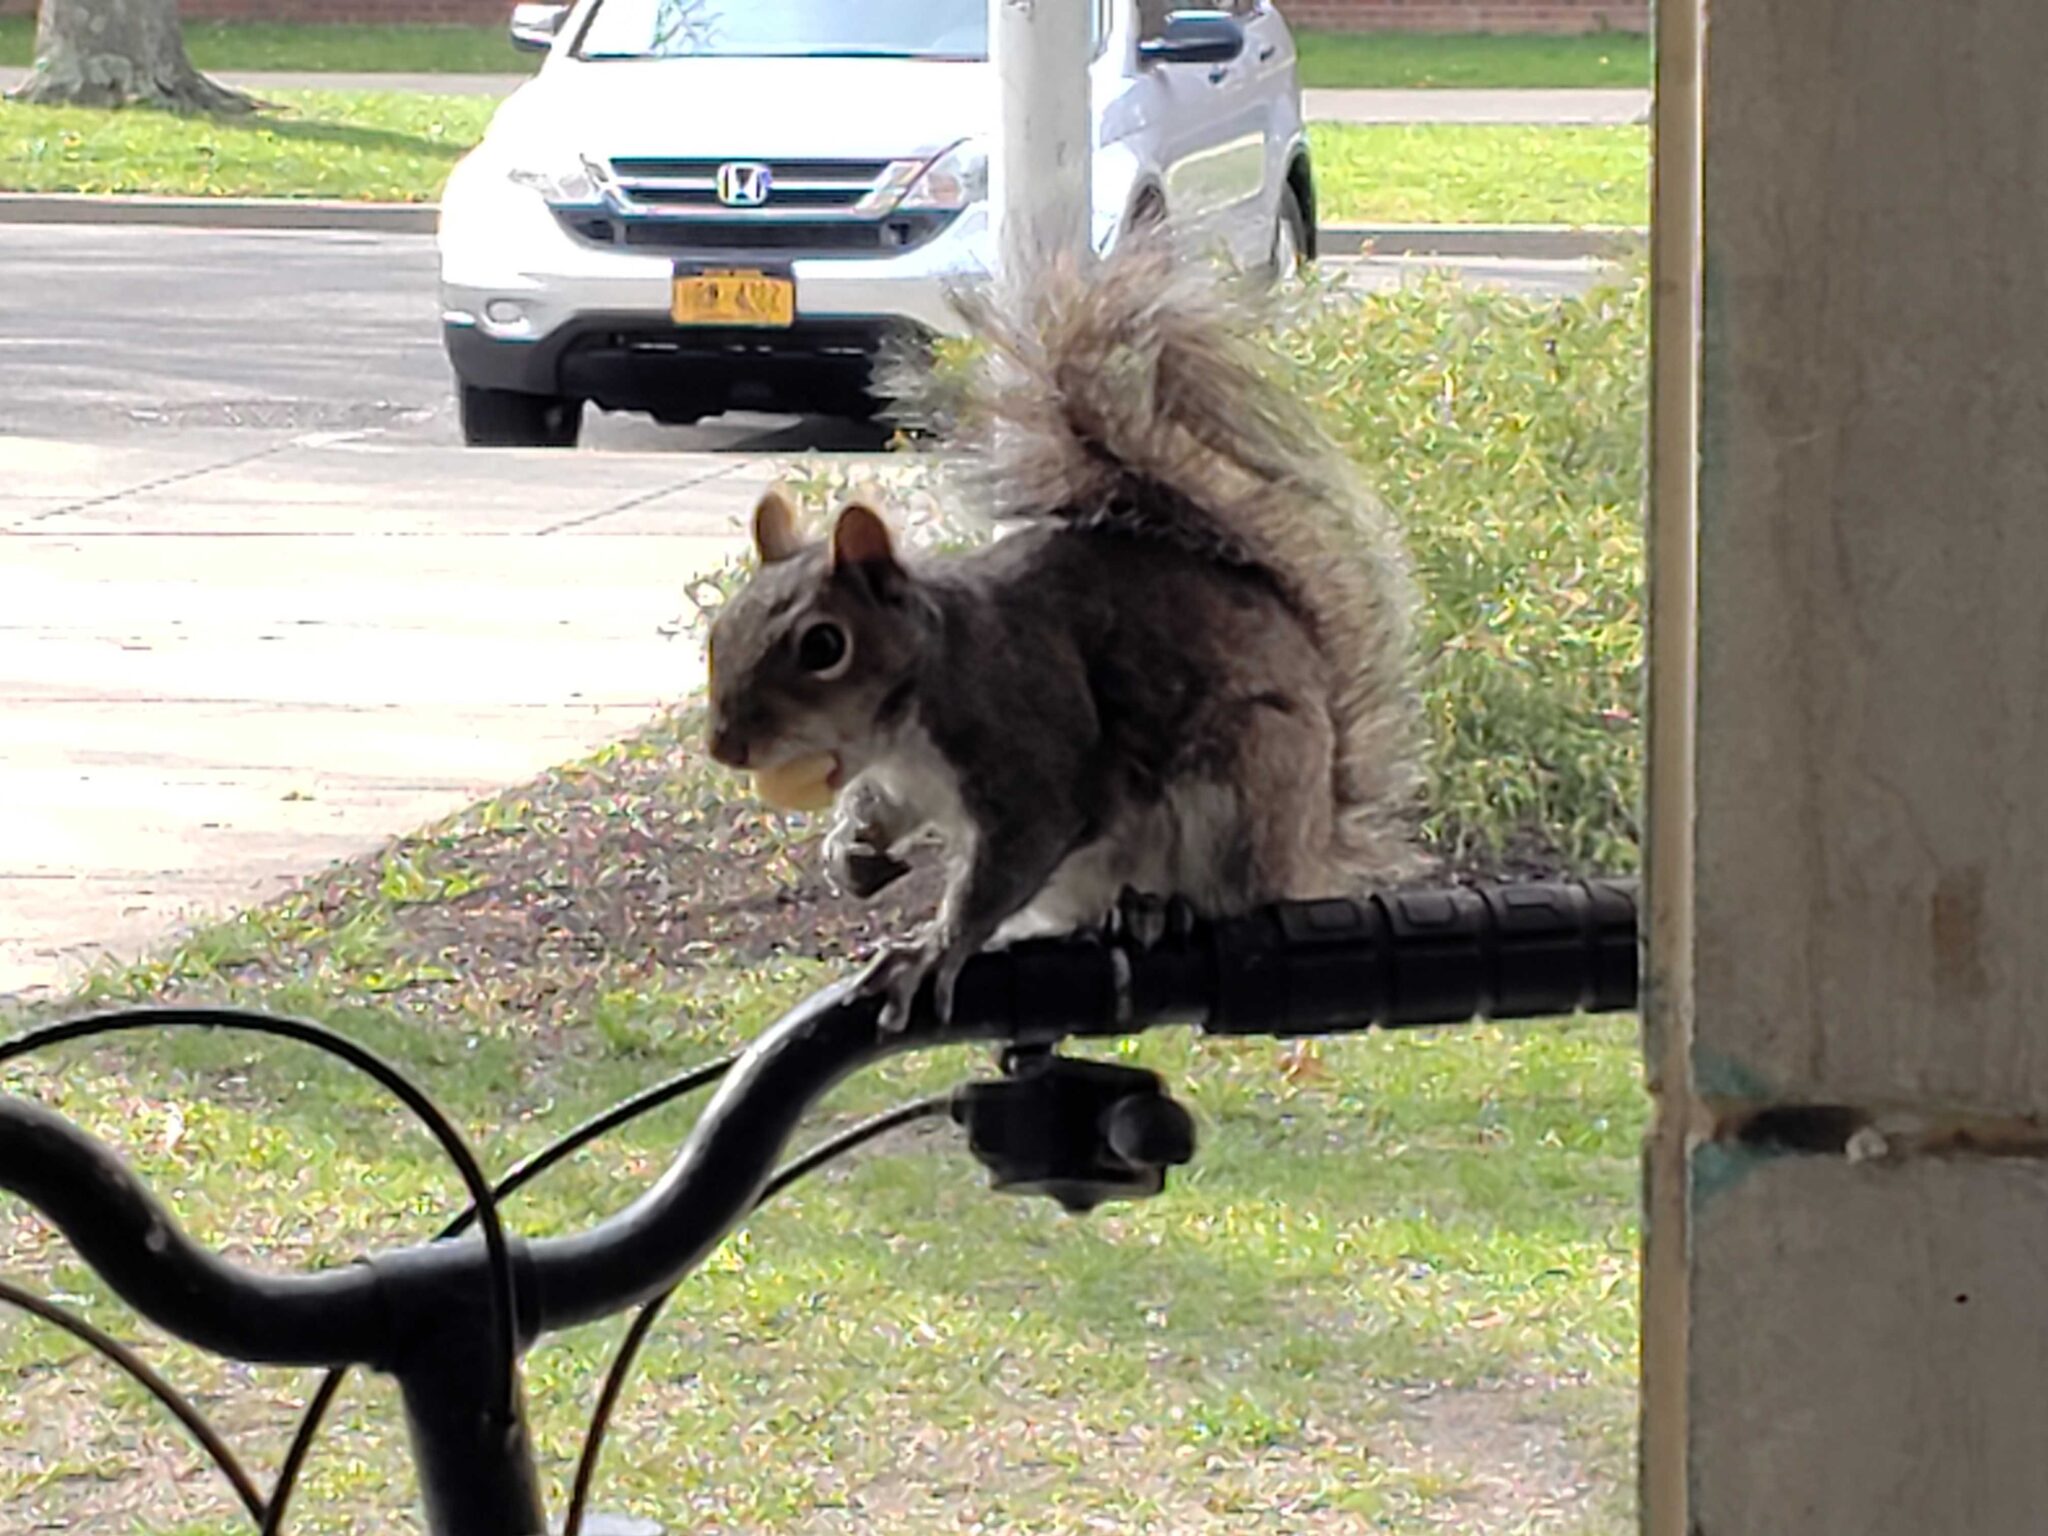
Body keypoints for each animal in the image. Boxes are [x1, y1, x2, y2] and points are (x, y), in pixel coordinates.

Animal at [705, 229, 1420, 1030]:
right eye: (721, 631)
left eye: (824, 646)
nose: (725, 747)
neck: (916, 702)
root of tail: (1315, 840)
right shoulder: (906, 779)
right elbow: (884, 810)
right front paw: (852, 849)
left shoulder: (1025, 742)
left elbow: (1015, 853)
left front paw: (934, 950)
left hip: (1249, 779)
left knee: (1230, 894)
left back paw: (1163, 909)